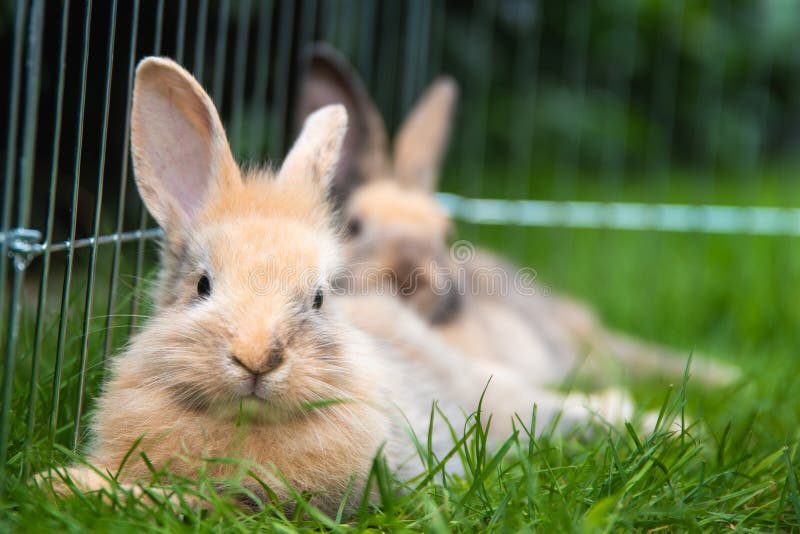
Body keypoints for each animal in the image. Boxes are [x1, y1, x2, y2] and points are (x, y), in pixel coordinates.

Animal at [35, 57, 637, 516]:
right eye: (202, 285)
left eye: (320, 297)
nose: (257, 358)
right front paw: (62, 482)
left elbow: (209, 498)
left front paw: (70, 486)